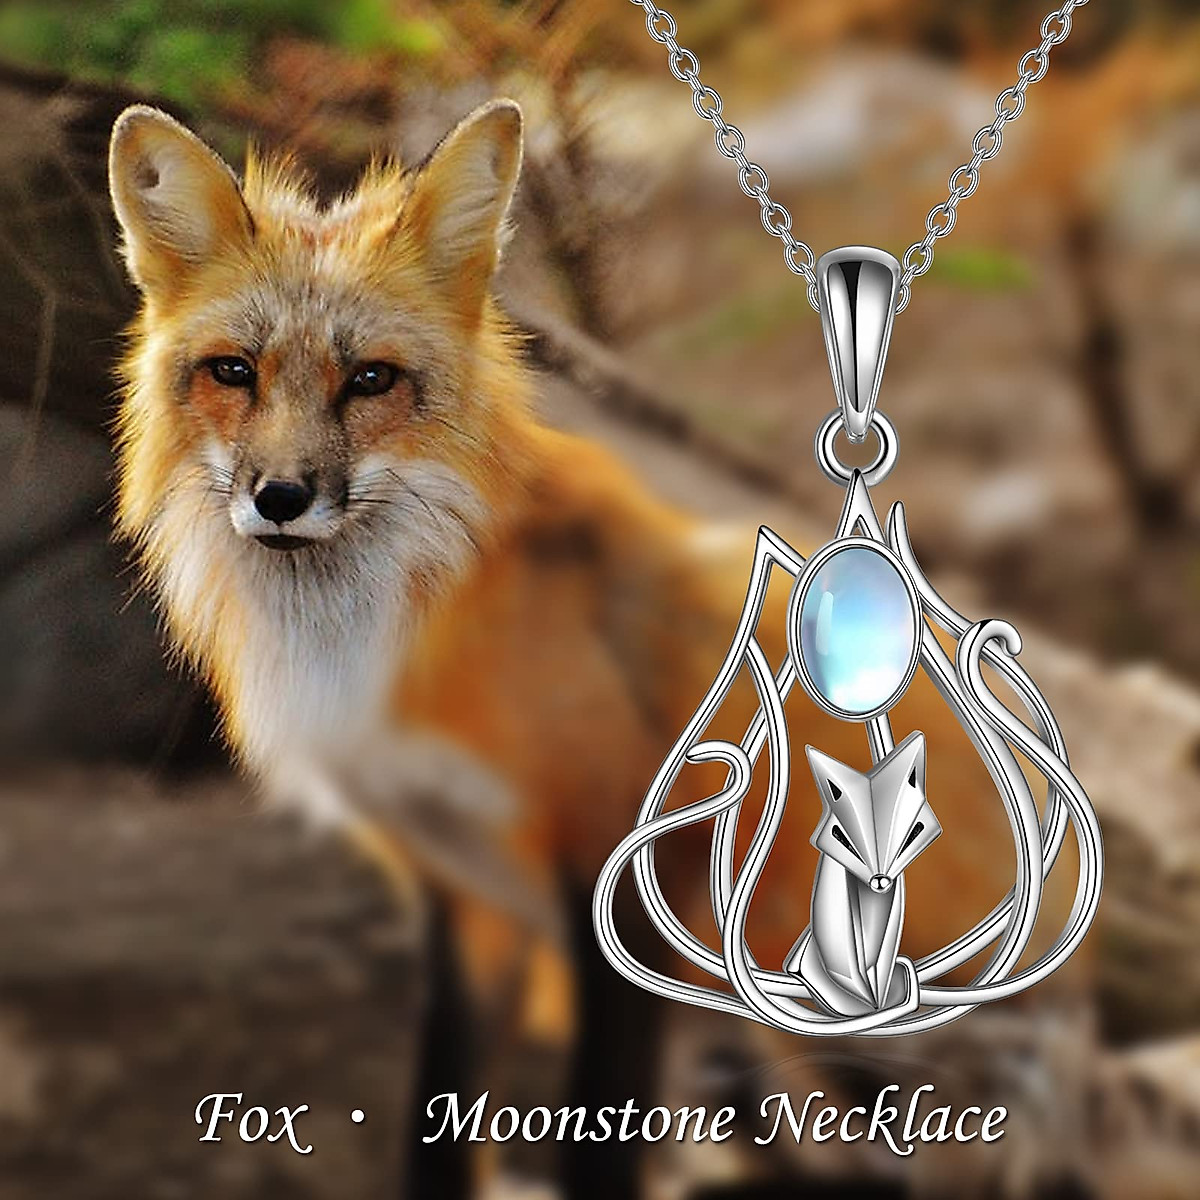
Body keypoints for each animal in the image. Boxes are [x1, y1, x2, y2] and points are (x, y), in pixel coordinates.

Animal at [107, 99, 1078, 1194]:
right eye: (233, 371)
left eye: (371, 380)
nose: (280, 498)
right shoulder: (464, 898)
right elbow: (439, 1127)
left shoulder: (616, 868)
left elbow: (601, 1141)